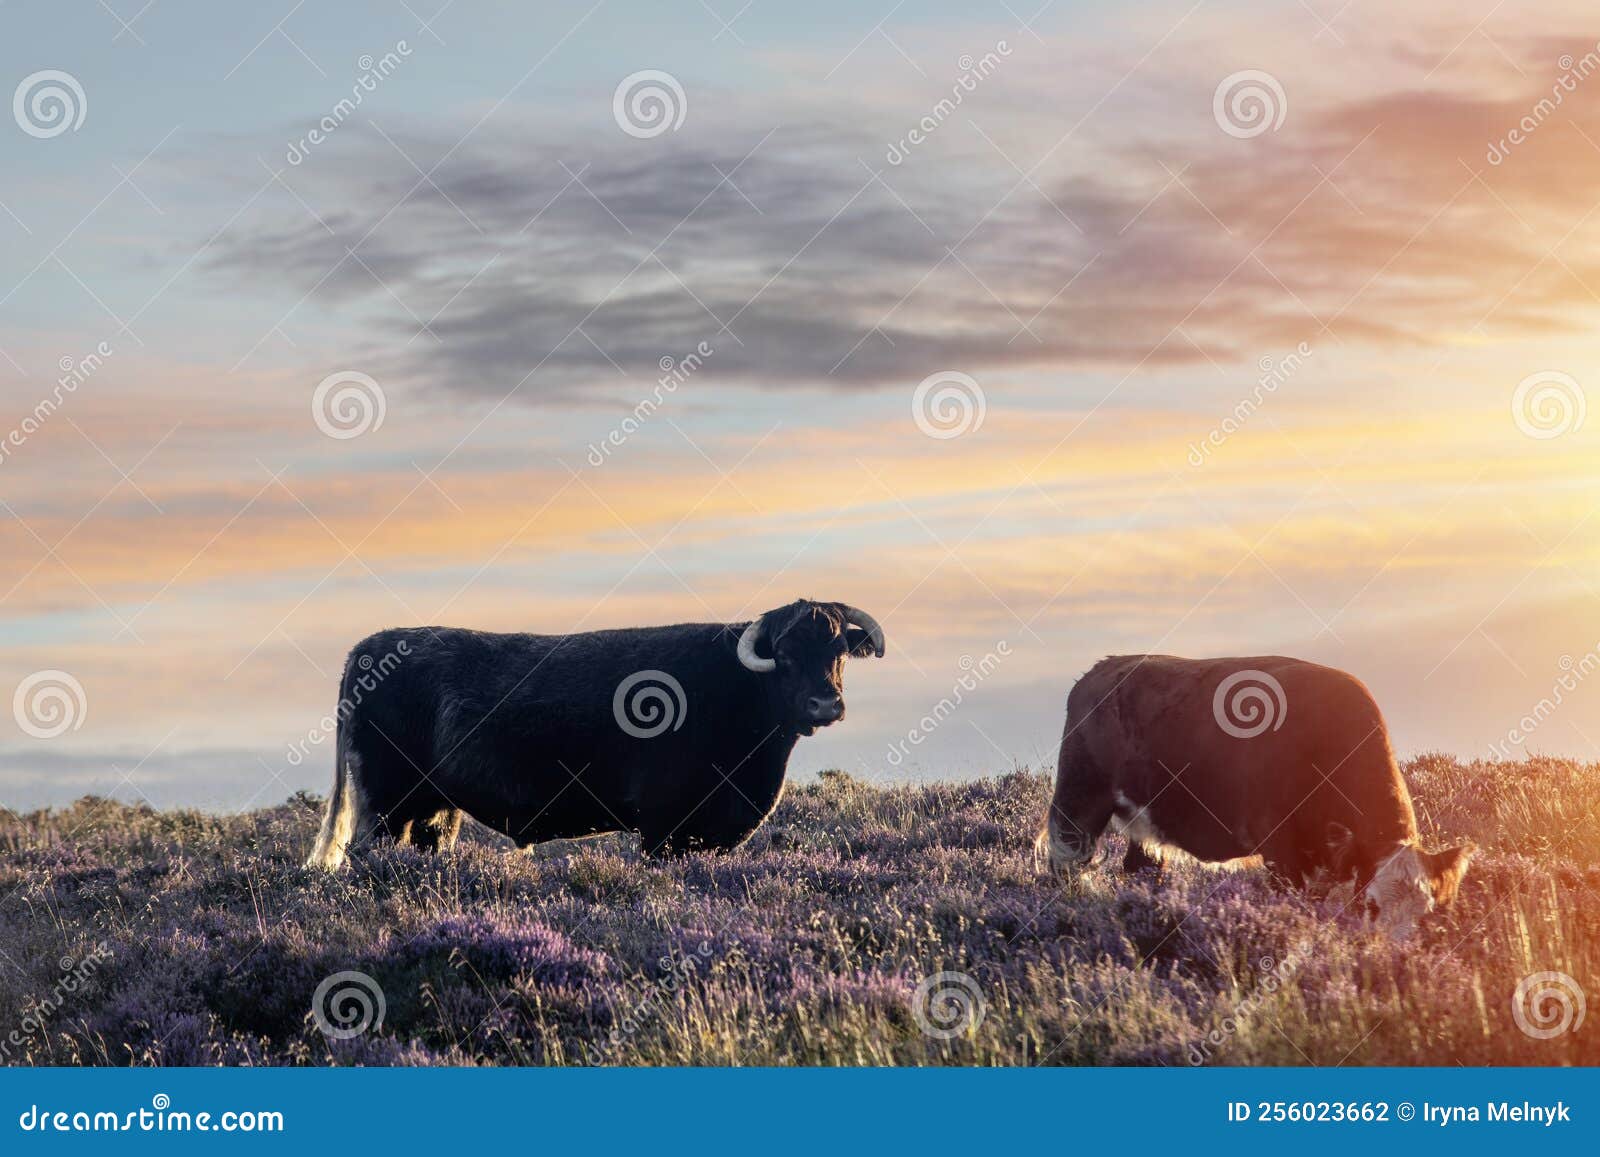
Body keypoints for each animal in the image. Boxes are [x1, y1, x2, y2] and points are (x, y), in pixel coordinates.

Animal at [304, 599, 886, 868]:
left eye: (838, 652)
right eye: (785, 654)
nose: (826, 703)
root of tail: (370, 646)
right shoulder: (663, 827)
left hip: (435, 811)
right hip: (385, 803)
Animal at [1035, 655, 1473, 941]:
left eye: (1428, 913)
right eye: (1372, 905)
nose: (1396, 955)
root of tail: (1100, 670)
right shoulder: (1281, 849)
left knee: (1141, 867)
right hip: (1078, 802)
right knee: (1066, 866)